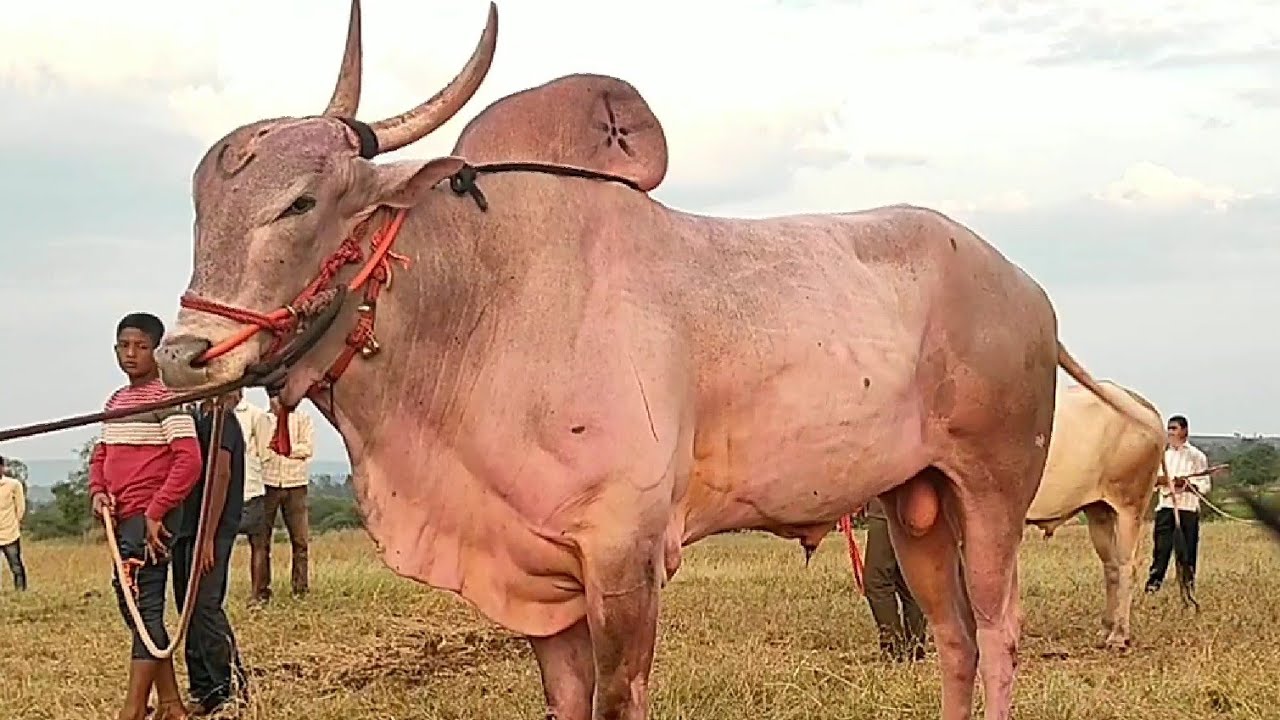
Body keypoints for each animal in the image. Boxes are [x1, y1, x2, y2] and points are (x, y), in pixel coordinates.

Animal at [1024, 380, 1164, 651]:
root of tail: (1139, 402)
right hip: (1099, 511)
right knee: (1111, 566)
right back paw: (1107, 627)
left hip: (1129, 508)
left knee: (1127, 567)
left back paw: (1119, 635)